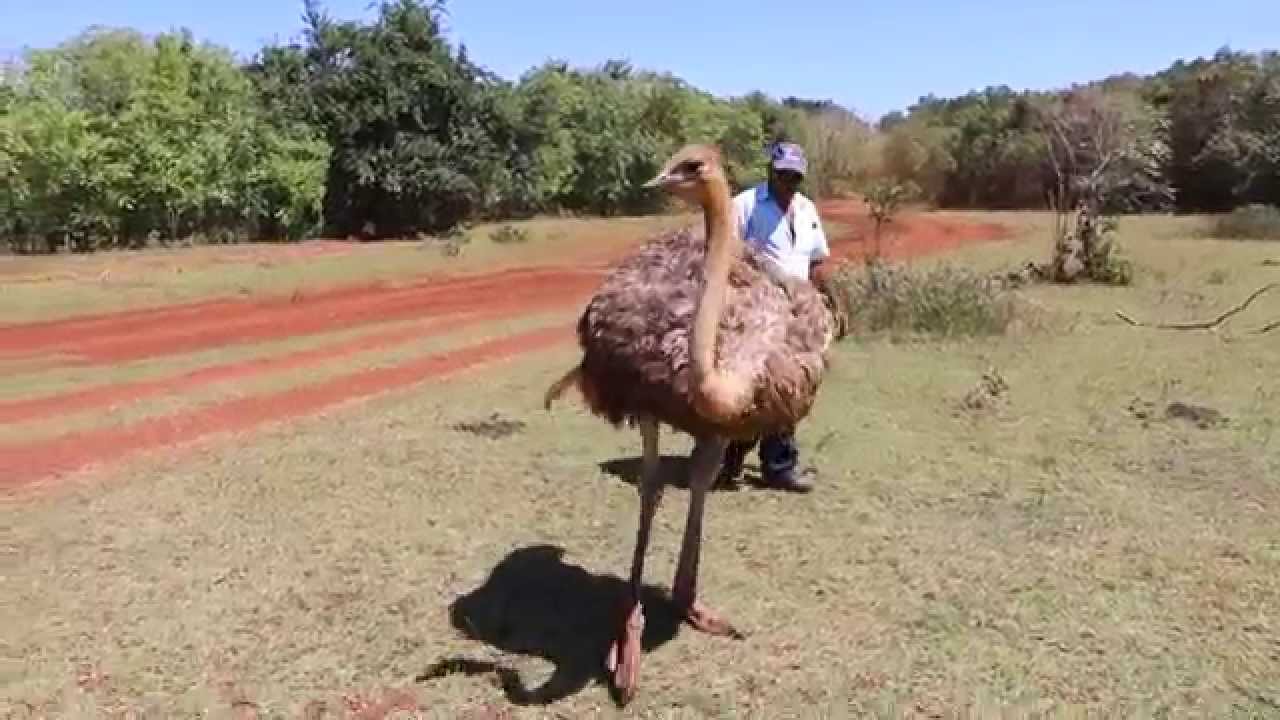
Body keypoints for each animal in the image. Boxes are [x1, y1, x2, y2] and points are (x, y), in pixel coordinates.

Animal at [544, 143, 837, 704]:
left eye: (693, 166)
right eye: (675, 161)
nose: (655, 182)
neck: (730, 364)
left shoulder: (722, 423)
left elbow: (699, 483)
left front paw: (691, 605)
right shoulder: (649, 405)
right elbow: (652, 487)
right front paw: (628, 643)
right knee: (655, 484)